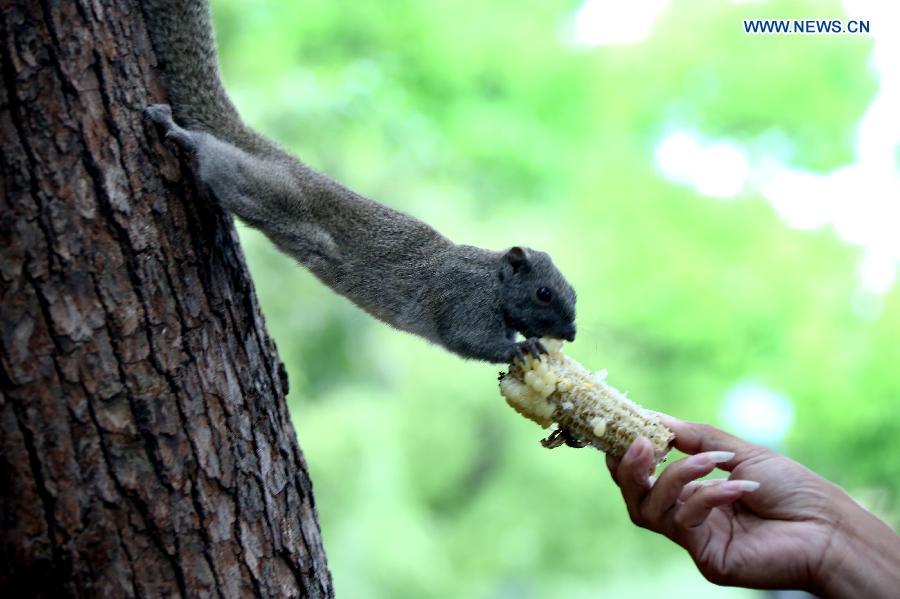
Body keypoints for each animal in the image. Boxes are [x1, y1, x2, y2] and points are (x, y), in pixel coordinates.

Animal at [140, 1, 577, 363]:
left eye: (572, 293)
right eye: (543, 293)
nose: (571, 333)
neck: (492, 280)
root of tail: (285, 161)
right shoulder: (463, 300)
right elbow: (469, 340)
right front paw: (521, 349)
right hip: (267, 190)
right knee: (221, 165)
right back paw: (176, 131)